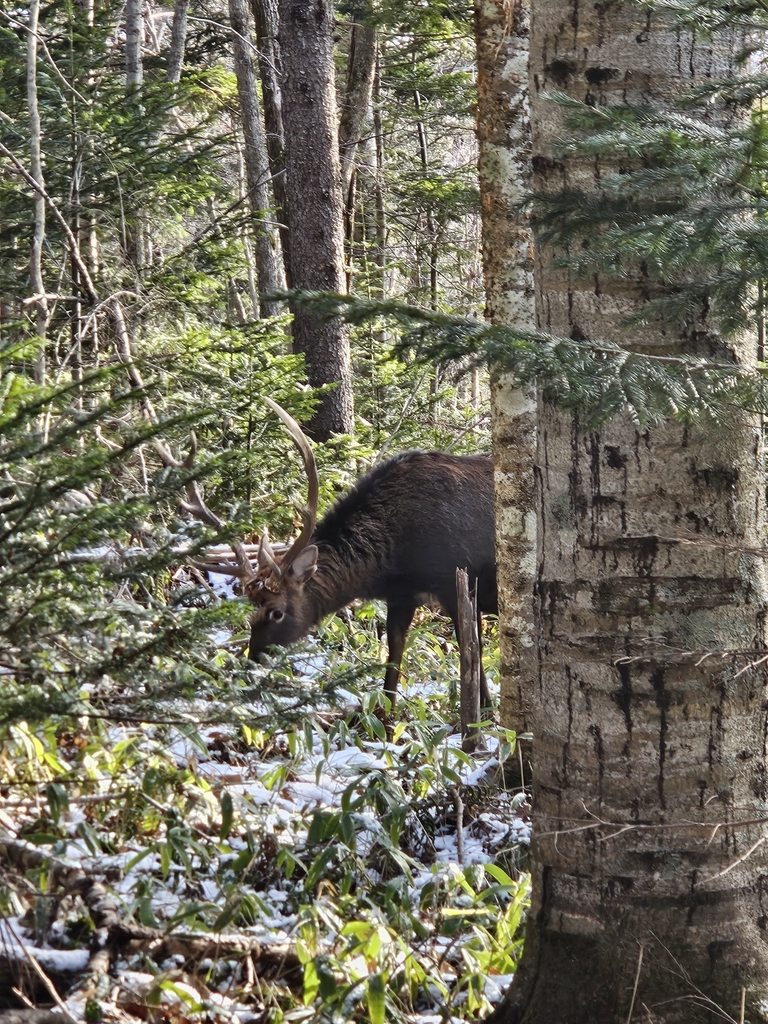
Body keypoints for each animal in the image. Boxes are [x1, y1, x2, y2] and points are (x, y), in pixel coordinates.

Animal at [214, 399, 498, 709]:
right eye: (248, 607)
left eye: (277, 612)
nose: (253, 660)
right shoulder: (402, 596)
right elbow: (393, 661)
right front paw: (385, 716)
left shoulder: (457, 584)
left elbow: (472, 655)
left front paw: (486, 711)